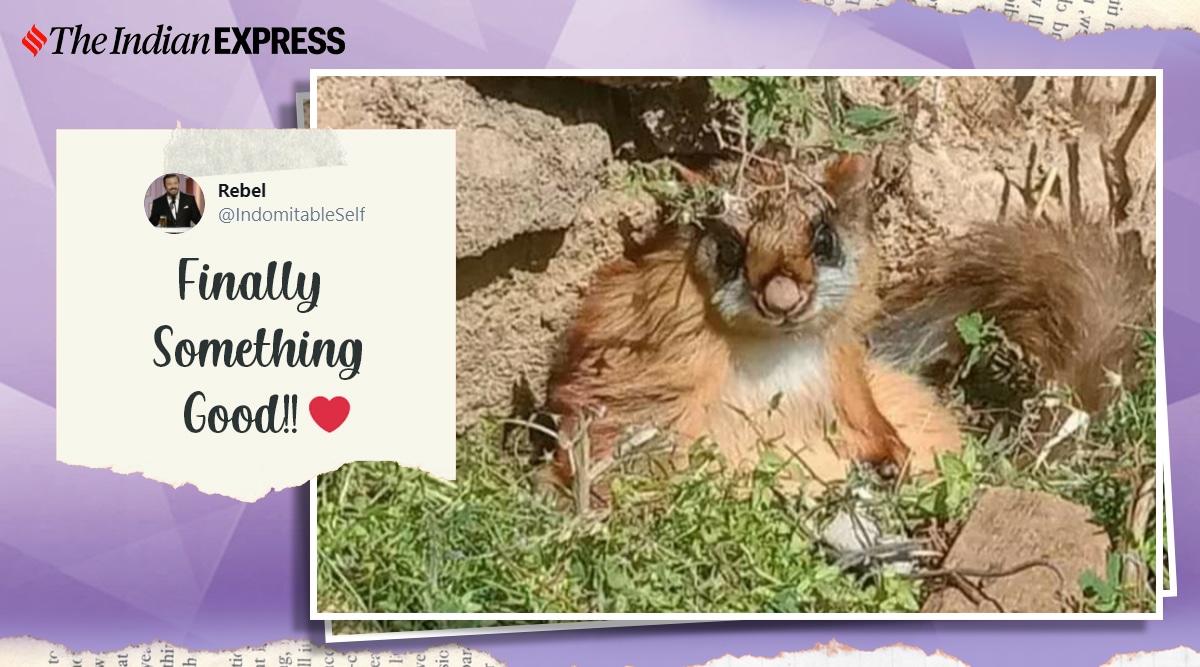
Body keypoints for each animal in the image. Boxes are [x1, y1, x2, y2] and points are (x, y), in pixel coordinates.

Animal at [539, 152, 1154, 508]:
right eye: (731, 248)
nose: (783, 299)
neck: (774, 351)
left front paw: (887, 463)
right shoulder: (652, 364)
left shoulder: (844, 377)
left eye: (823, 238)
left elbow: (872, 428)